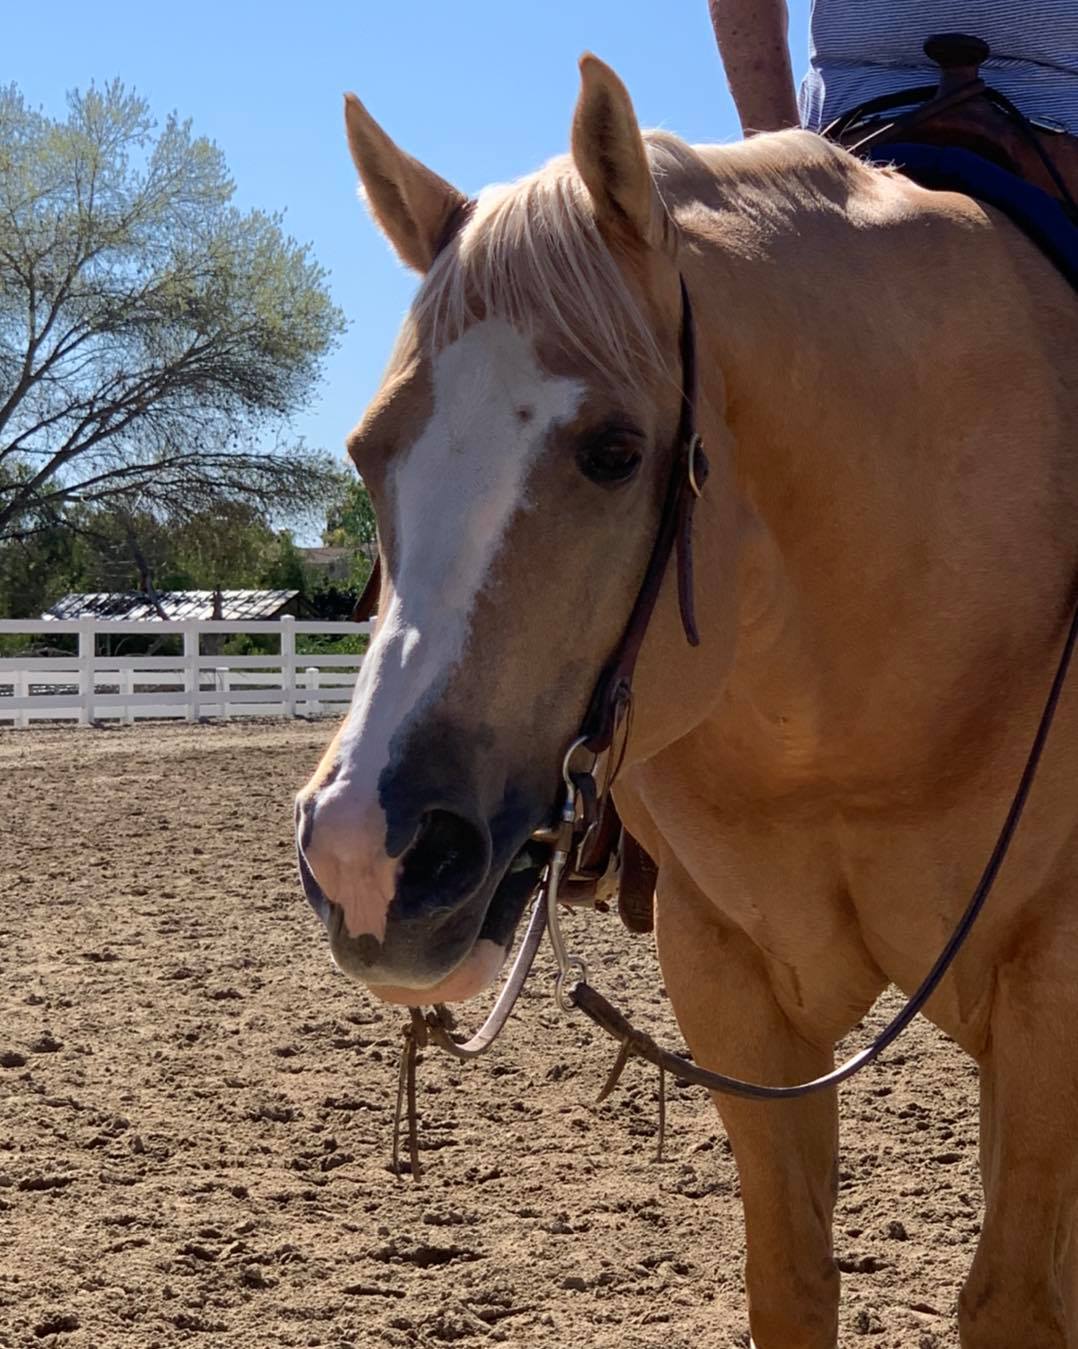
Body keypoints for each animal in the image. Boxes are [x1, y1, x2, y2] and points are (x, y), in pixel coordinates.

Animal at [294, 54, 1078, 1348]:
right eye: (369, 451)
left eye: (615, 450)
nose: (367, 853)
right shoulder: (732, 987)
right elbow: (791, 1278)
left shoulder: (1049, 987)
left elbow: (1014, 1296)